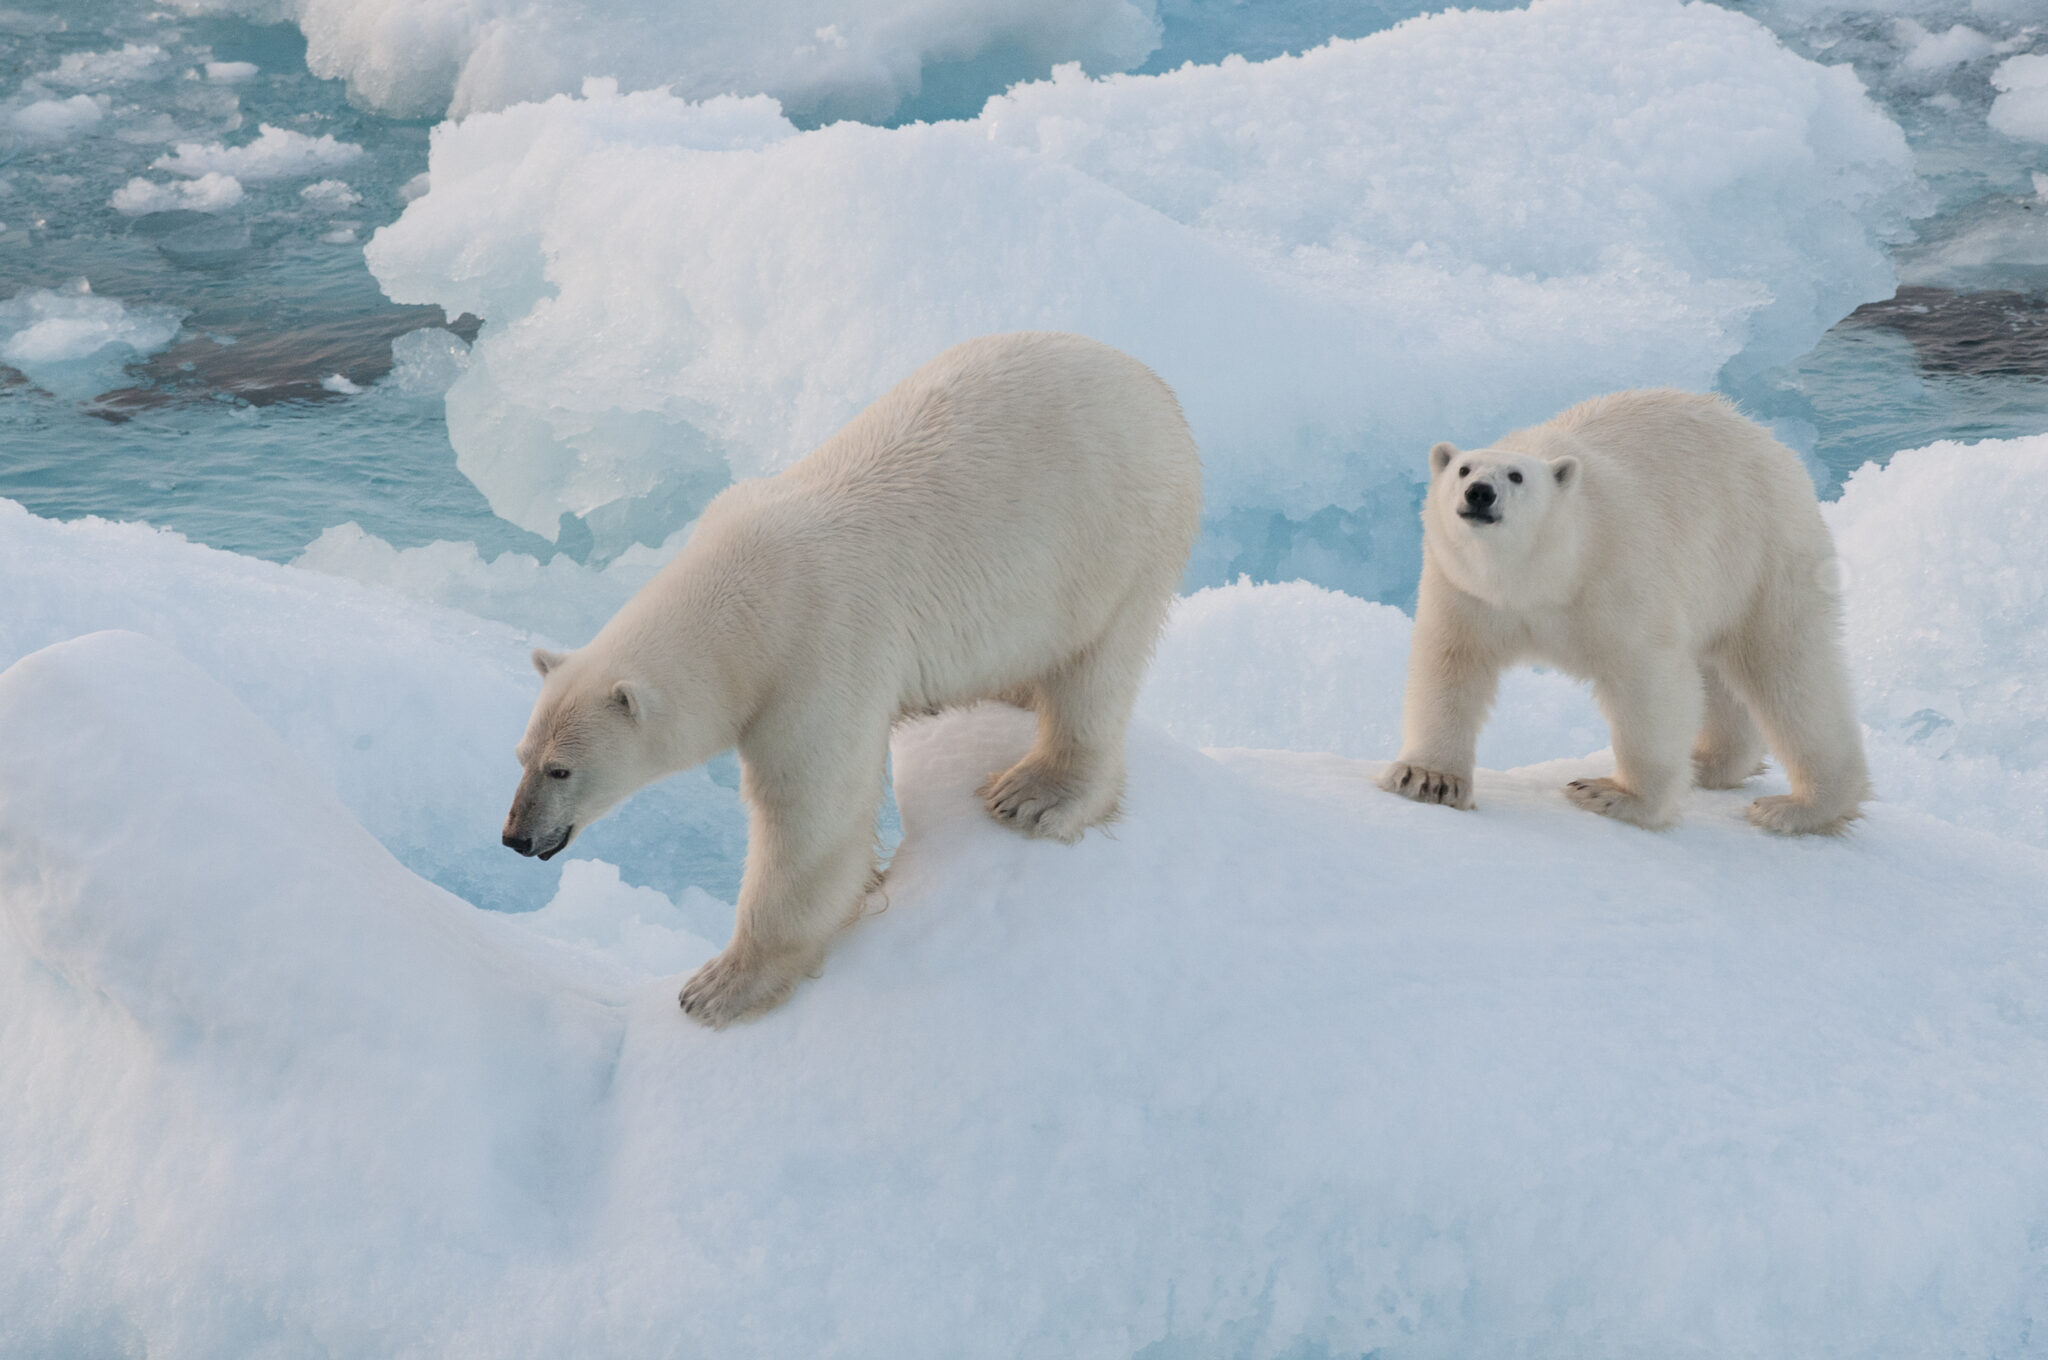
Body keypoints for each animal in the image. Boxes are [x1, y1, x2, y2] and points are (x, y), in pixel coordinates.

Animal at [501, 332, 1202, 1026]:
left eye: (561, 769)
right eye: (522, 755)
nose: (514, 837)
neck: (745, 595)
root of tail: (1150, 383)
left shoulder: (815, 652)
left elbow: (812, 815)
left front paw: (719, 986)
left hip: (1119, 538)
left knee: (1098, 672)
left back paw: (1037, 793)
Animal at [1377, 388, 1868, 834]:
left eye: (1516, 476)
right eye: (1463, 468)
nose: (1479, 493)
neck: (1541, 576)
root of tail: (1775, 447)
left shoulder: (1616, 573)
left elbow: (1648, 681)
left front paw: (1613, 795)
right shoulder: (1465, 591)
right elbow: (1451, 665)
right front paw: (1429, 778)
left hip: (1762, 557)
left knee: (1790, 673)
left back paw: (1800, 806)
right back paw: (1707, 760)